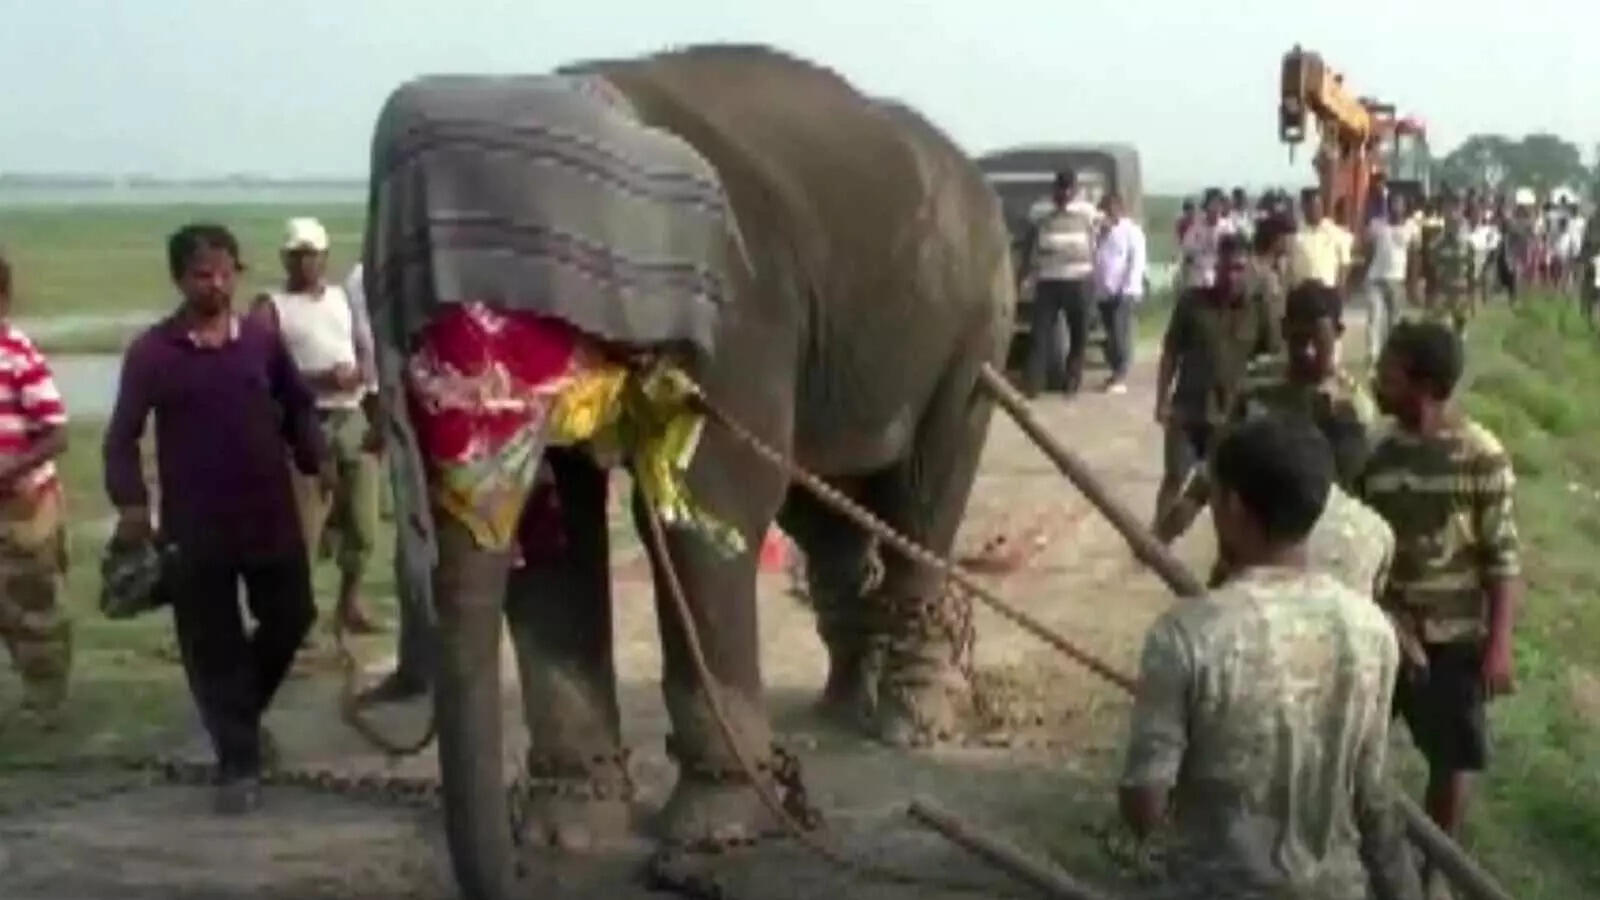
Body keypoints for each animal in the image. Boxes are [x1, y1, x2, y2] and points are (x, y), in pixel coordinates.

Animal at [365, 44, 1014, 900]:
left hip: (975, 325)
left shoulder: (739, 315)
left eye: (531, 346)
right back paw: (839, 710)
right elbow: (553, 538)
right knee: (824, 518)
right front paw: (568, 834)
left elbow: (708, 512)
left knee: (924, 492)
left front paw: (715, 832)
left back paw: (906, 724)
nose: (517, 868)